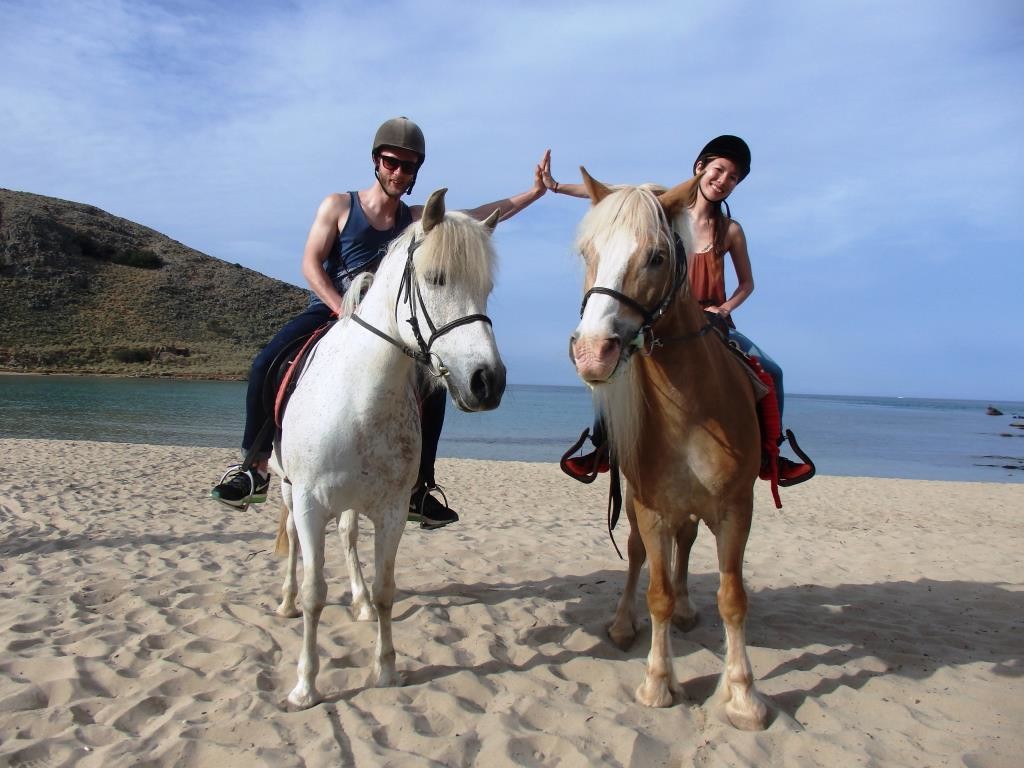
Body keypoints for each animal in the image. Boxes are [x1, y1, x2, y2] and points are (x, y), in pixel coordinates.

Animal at [270, 188, 505, 710]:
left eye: (487, 288)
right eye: (436, 278)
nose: (488, 382)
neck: (359, 397)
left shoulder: (392, 510)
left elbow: (384, 589)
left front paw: (386, 670)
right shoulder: (309, 502)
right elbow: (316, 592)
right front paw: (304, 686)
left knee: (348, 537)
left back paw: (355, 601)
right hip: (287, 490)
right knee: (294, 544)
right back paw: (286, 601)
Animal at [569, 170, 769, 730]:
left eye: (657, 256)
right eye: (587, 252)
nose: (592, 352)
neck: (692, 407)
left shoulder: (736, 509)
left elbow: (732, 598)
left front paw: (743, 694)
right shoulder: (652, 508)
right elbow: (654, 590)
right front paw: (658, 682)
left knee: (687, 544)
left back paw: (684, 609)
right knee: (638, 554)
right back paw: (622, 624)